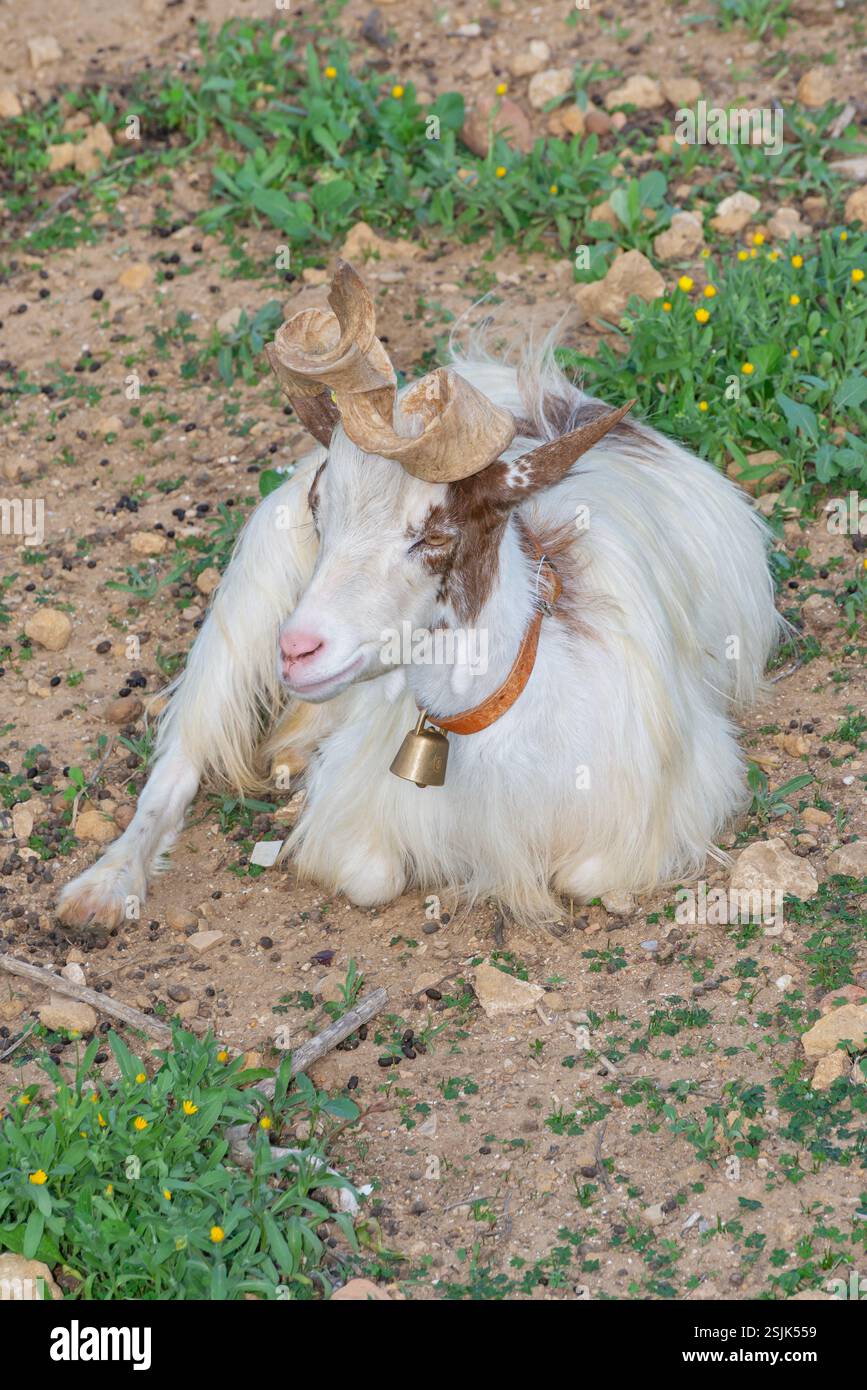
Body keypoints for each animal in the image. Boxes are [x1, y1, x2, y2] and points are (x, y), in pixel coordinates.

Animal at [57, 261, 781, 930]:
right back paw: (102, 889)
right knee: (185, 750)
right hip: (250, 595)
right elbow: (368, 875)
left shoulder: (683, 792)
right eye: (320, 508)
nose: (297, 651)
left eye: (436, 534)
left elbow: (584, 877)